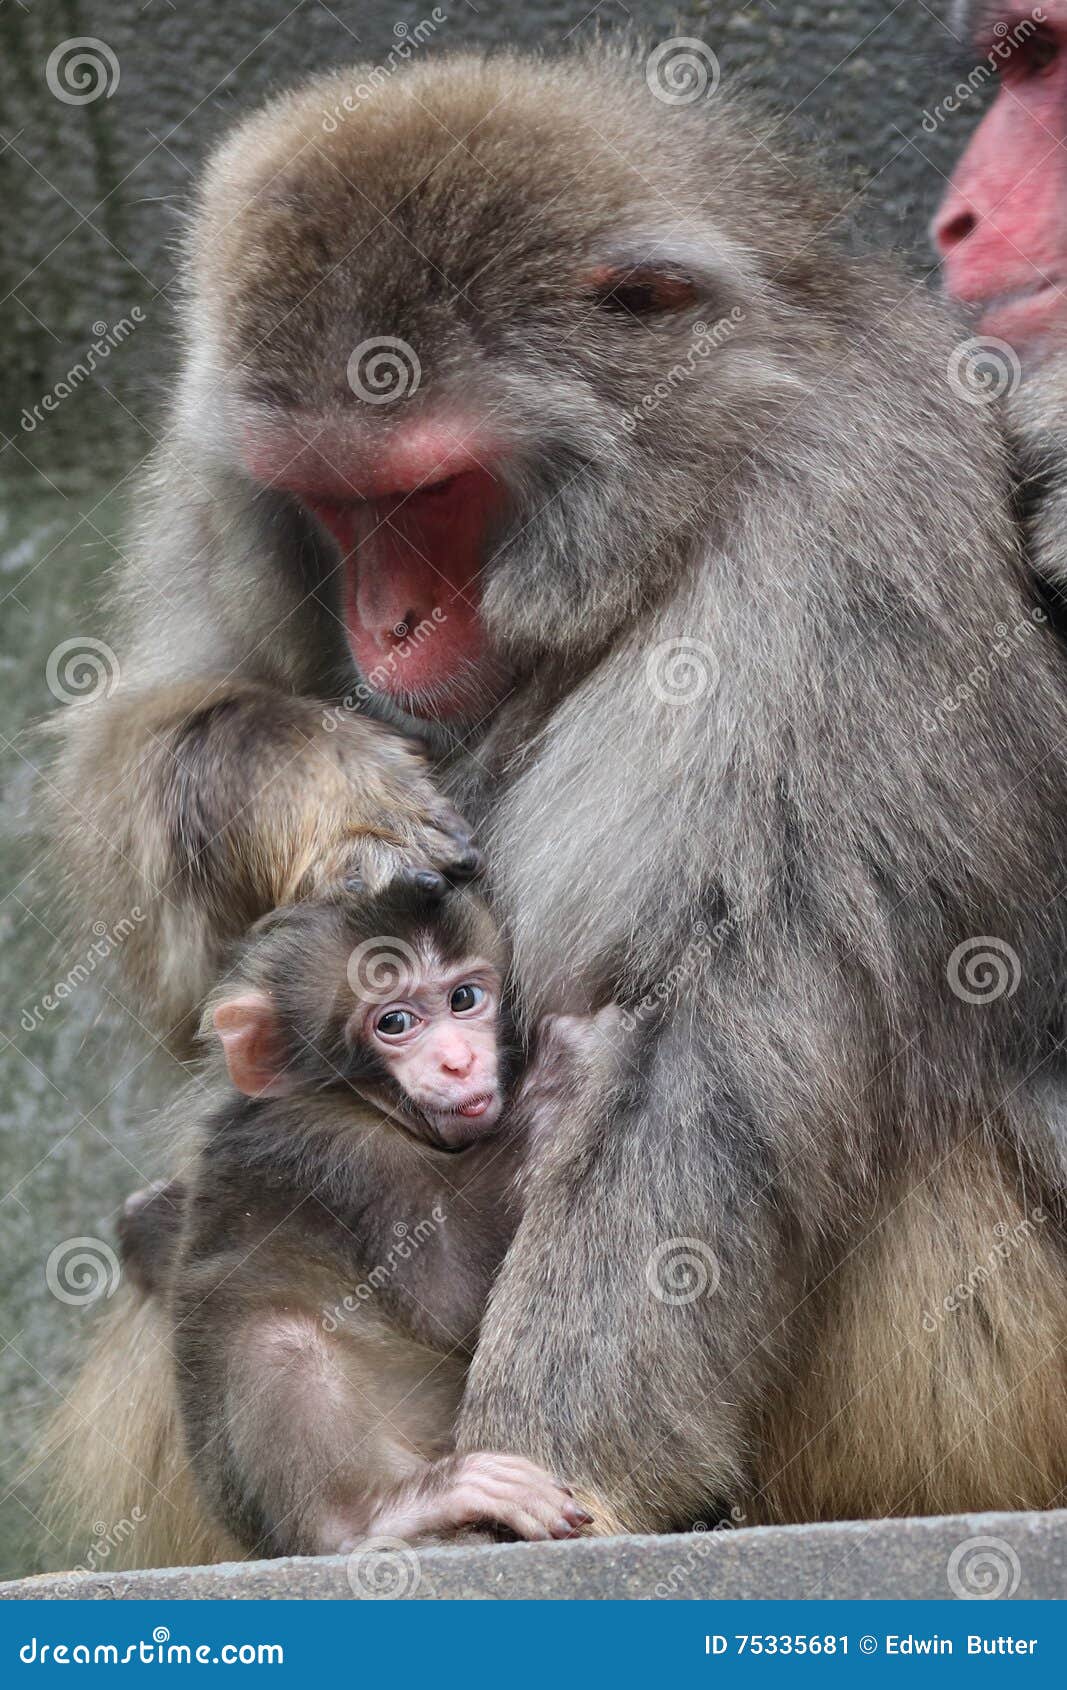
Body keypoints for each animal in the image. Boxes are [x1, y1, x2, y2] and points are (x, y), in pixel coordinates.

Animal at [115, 878, 616, 1557]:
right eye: (395, 1022)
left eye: (464, 998)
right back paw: (380, 1514)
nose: (458, 1061)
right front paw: (566, 1057)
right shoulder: (343, 1158)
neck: (355, 1102)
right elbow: (447, 1298)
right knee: (279, 1342)